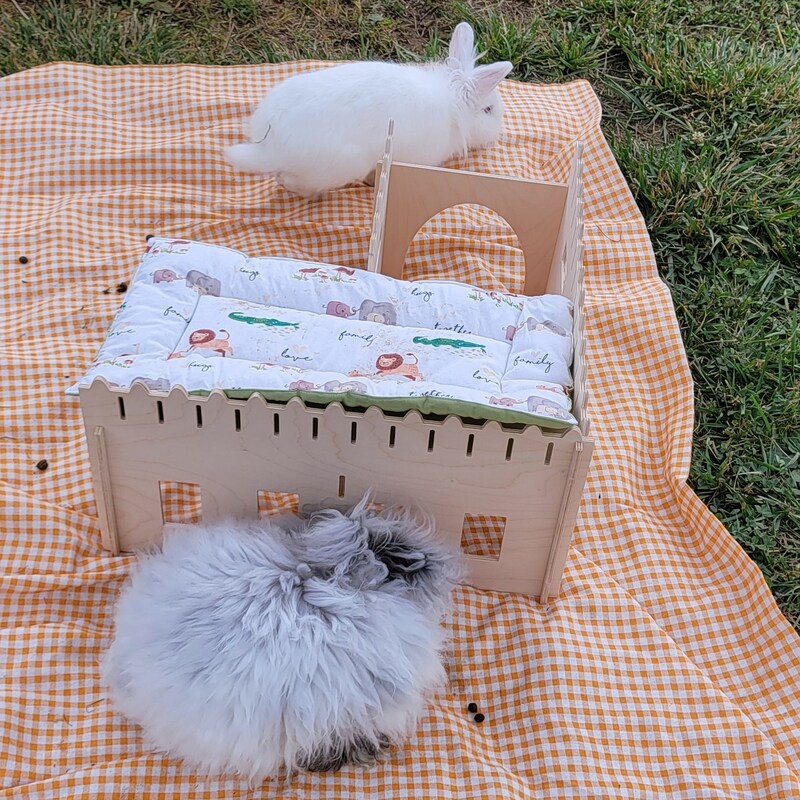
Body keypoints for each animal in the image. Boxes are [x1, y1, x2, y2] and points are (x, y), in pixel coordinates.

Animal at [224, 22, 513, 198]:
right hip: (339, 166)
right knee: (292, 182)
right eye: (488, 110)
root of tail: (270, 143)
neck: (453, 104)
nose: (498, 133)